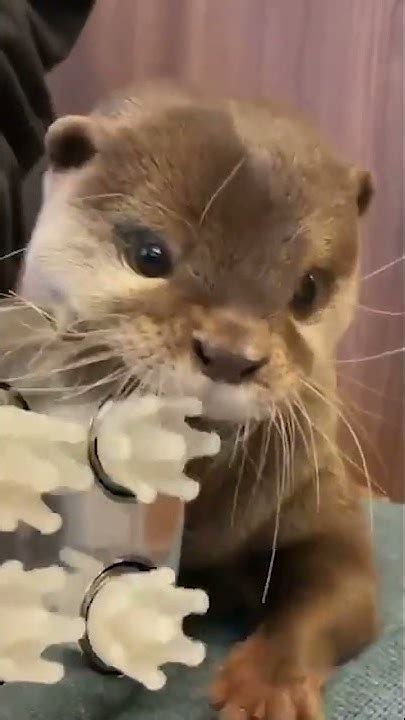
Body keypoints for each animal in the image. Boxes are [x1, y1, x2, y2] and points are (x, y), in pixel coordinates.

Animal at [8, 84, 378, 719]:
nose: (230, 354)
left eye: (308, 289)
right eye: (150, 255)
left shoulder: (317, 492)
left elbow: (344, 586)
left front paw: (268, 686)